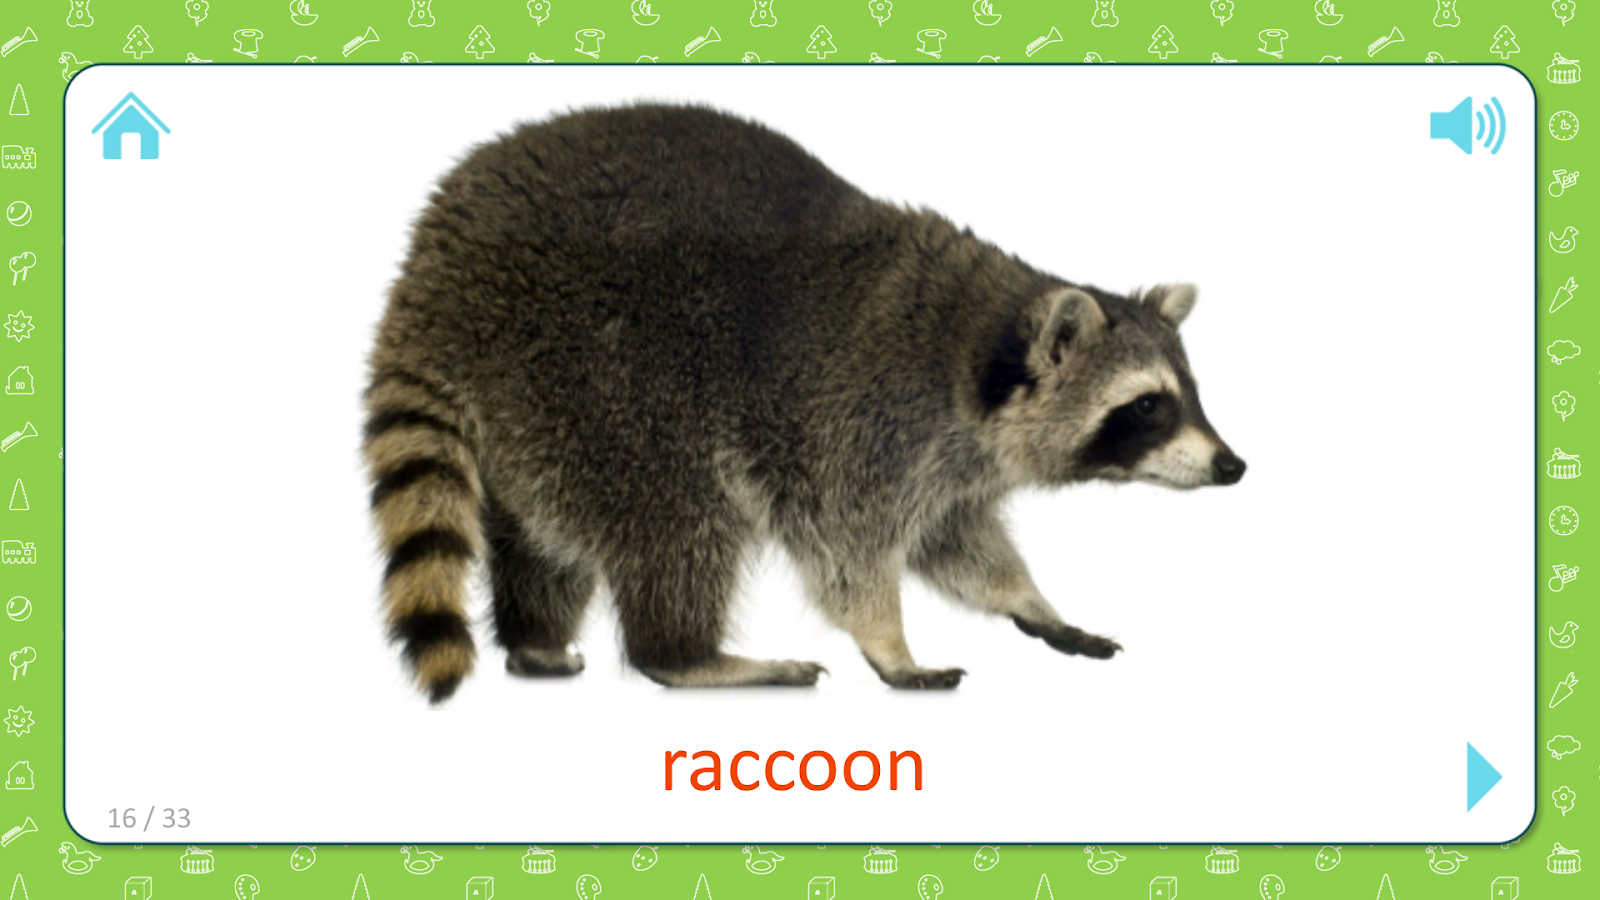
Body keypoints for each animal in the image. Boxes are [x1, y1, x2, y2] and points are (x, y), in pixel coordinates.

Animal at [363, 103, 1245, 702]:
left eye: (1190, 395)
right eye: (1147, 407)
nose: (1233, 466)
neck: (972, 347)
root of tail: (431, 276)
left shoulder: (950, 464)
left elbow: (959, 545)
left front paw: (1031, 600)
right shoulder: (857, 420)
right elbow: (846, 546)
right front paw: (890, 643)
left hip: (529, 413)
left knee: (545, 537)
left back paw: (537, 640)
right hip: (595, 371)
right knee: (679, 517)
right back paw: (687, 655)